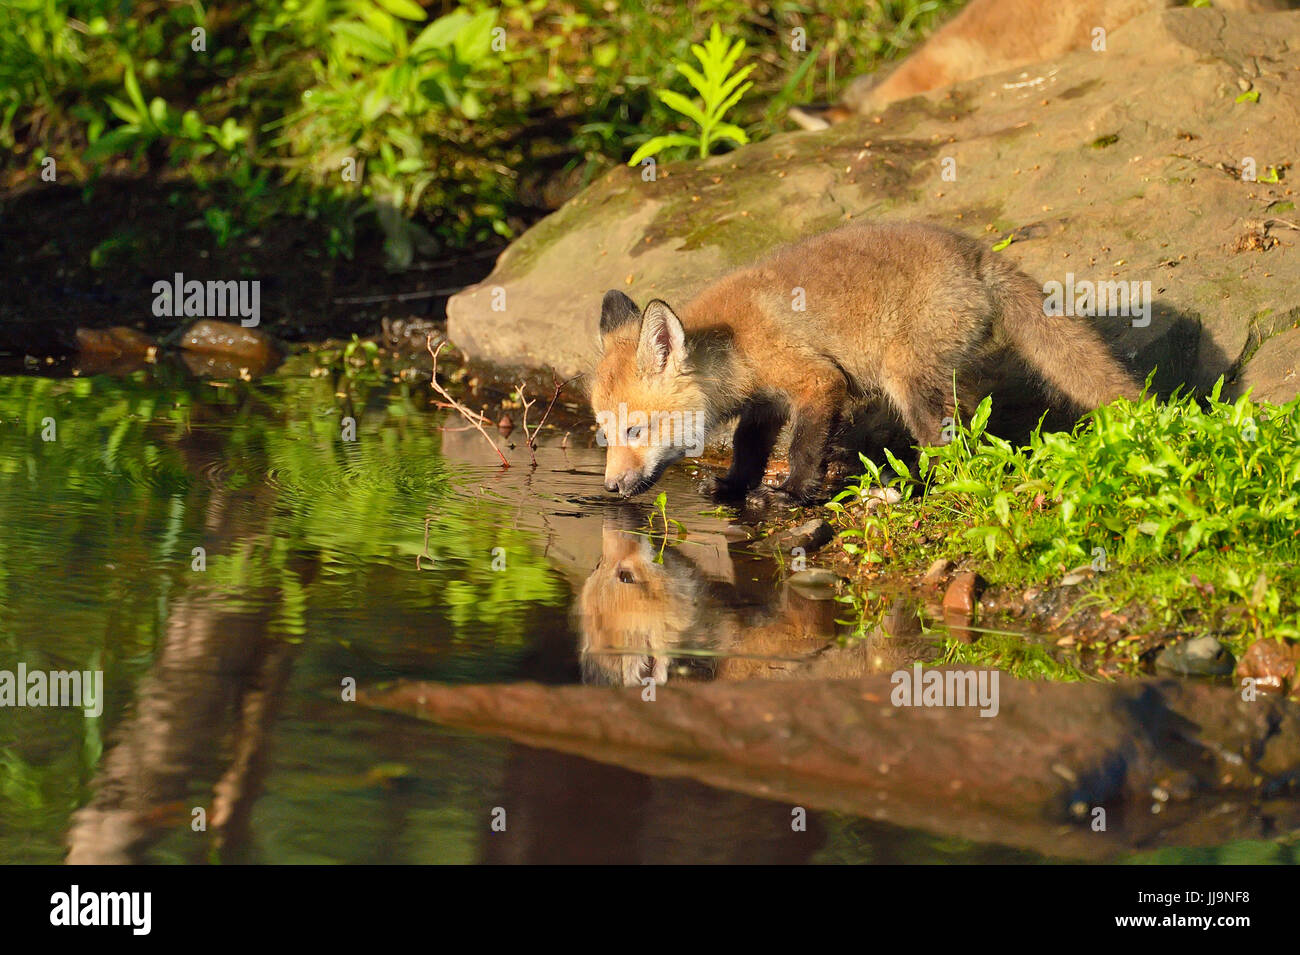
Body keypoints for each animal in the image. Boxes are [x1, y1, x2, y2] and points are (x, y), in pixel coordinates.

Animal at [590, 221, 1138, 503]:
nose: (611, 486)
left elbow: (804, 448)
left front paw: (790, 492)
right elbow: (748, 449)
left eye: (635, 430)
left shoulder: (819, 382)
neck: (737, 345)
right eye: (605, 433)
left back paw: (925, 484)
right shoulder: (766, 403)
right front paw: (733, 487)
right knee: (972, 419)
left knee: (945, 440)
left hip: (906, 377)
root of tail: (979, 255)